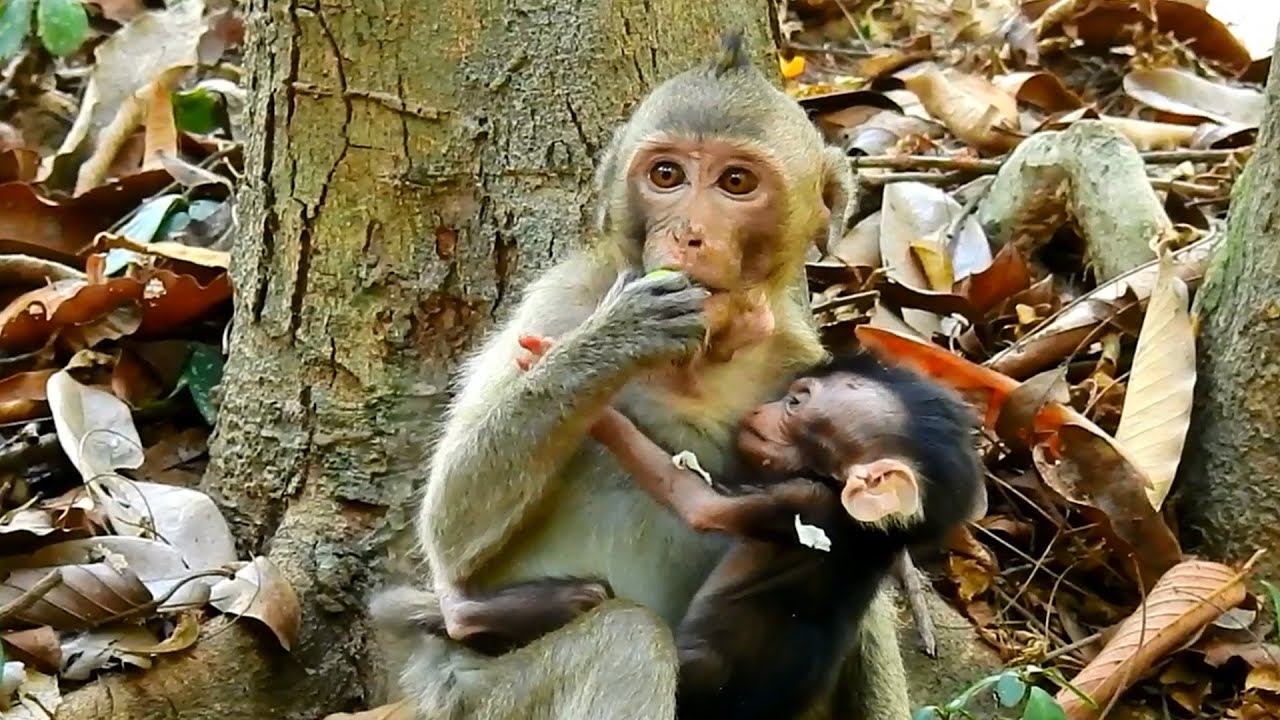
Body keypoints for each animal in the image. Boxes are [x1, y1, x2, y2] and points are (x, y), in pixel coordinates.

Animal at [370, 32, 915, 720]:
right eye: (666, 176)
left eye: (736, 182)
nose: (688, 234)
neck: (700, 357)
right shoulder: (559, 302)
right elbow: (448, 534)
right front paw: (618, 337)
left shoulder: (798, 354)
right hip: (479, 703)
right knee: (626, 638)